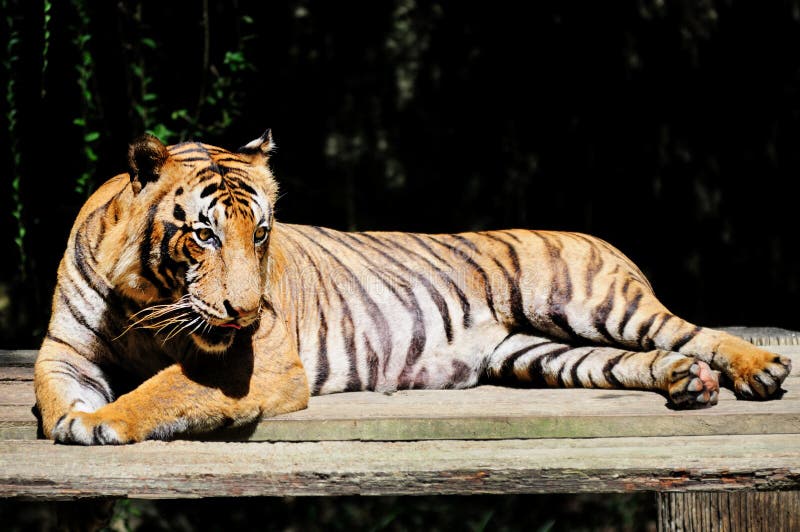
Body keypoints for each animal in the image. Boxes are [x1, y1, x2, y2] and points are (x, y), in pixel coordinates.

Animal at [34, 130, 792, 444]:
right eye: (205, 235)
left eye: (261, 233)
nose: (244, 310)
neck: (147, 300)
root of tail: (595, 235)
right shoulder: (64, 349)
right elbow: (55, 389)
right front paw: (74, 415)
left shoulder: (254, 359)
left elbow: (165, 388)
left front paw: (102, 422)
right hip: (536, 352)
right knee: (637, 360)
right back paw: (687, 384)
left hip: (597, 301)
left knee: (692, 331)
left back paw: (760, 369)